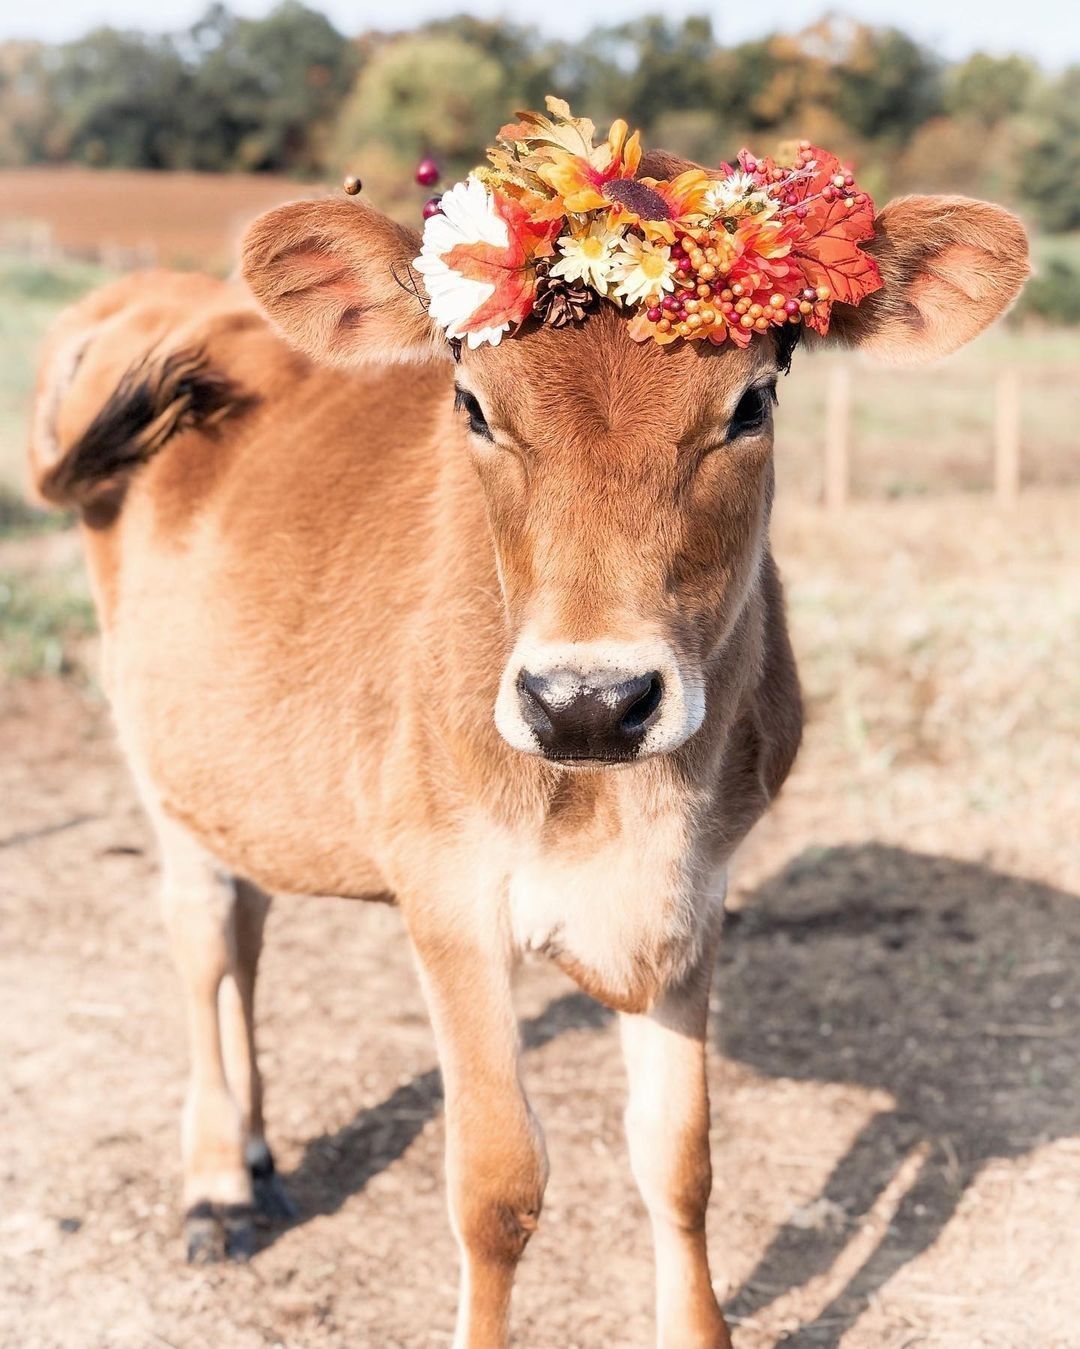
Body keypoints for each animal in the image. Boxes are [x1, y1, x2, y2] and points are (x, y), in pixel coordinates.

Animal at [28, 147, 1027, 1348]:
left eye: (752, 401)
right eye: (472, 403)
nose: (590, 702)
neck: (620, 805)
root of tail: (163, 294)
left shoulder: (693, 893)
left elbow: (680, 1160)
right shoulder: (448, 890)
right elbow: (497, 1184)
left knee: (251, 922)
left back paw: (261, 1153)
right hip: (158, 750)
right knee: (201, 937)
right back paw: (219, 1180)